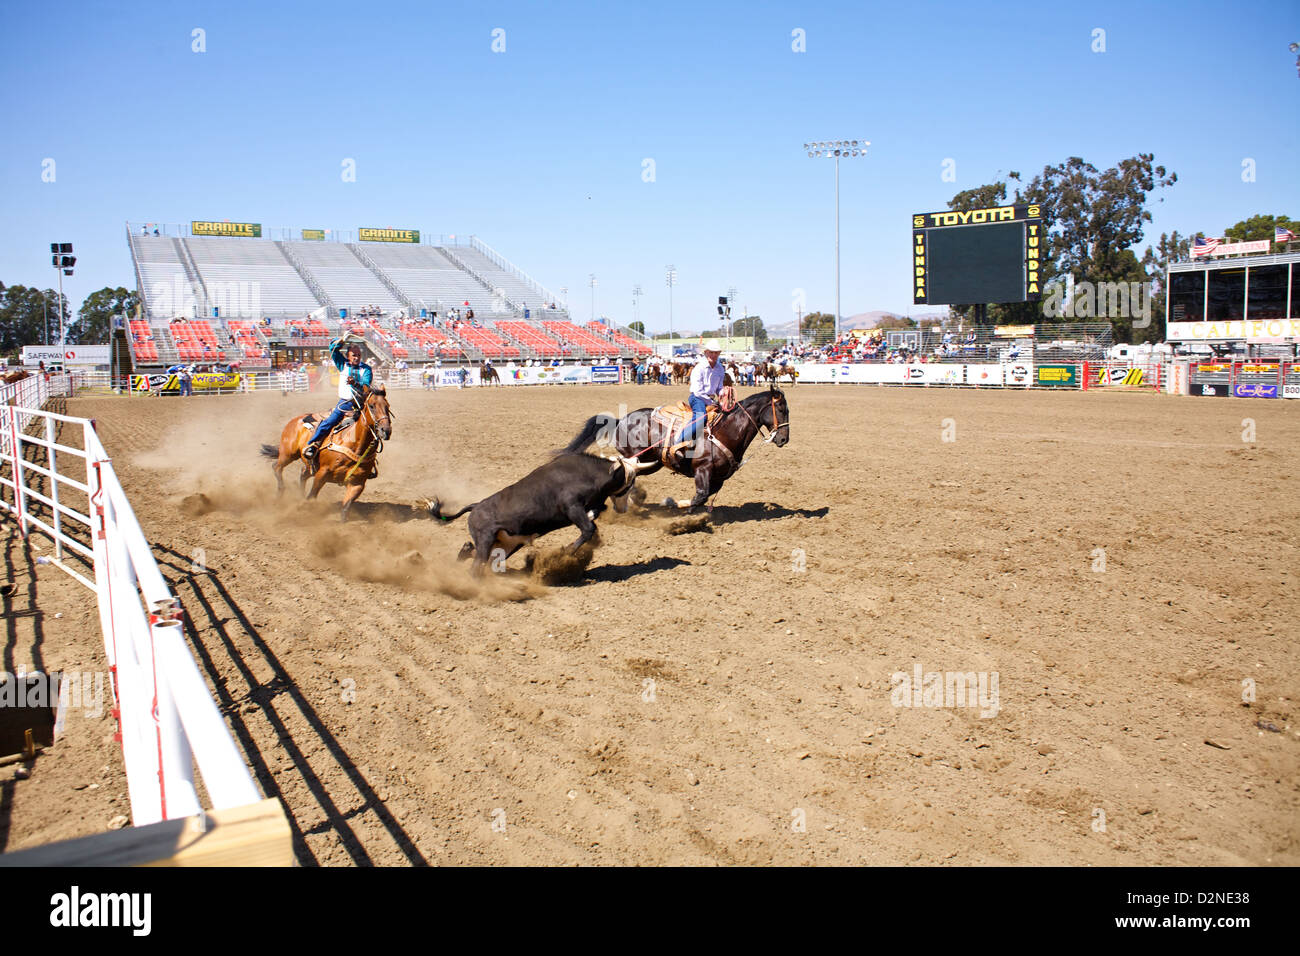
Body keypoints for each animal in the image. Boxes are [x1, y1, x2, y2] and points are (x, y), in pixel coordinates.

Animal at [426, 453, 653, 575]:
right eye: (628, 481)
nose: (623, 508)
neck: (587, 475)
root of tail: (476, 507)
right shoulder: (572, 507)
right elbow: (588, 529)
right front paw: (566, 552)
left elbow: (592, 520)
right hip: (486, 539)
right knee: (477, 565)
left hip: (506, 544)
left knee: (482, 557)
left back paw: (465, 553)